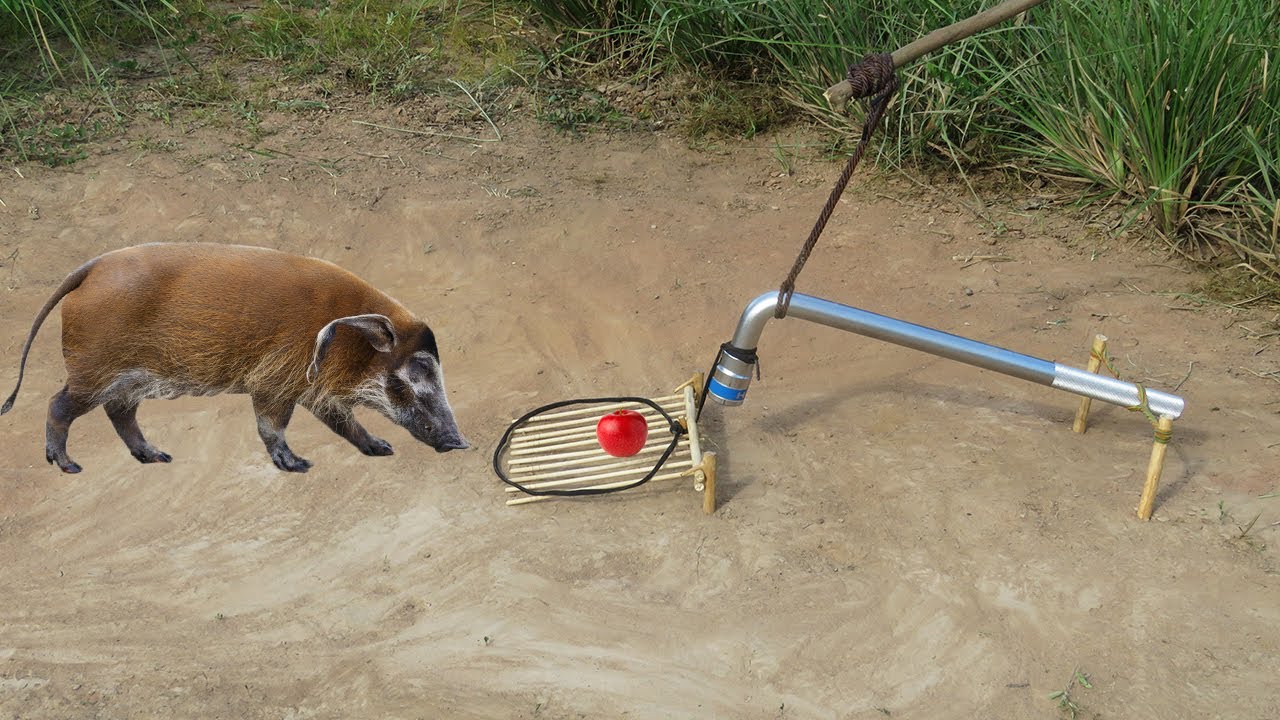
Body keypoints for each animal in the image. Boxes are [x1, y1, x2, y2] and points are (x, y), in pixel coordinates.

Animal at [1, 242, 469, 473]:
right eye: (414, 371)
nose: (460, 442)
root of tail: (89, 270)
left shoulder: (314, 392)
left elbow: (343, 422)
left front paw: (381, 448)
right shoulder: (274, 381)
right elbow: (271, 425)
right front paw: (298, 466)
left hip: (128, 380)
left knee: (120, 414)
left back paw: (157, 457)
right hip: (93, 372)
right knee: (58, 404)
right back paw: (67, 465)